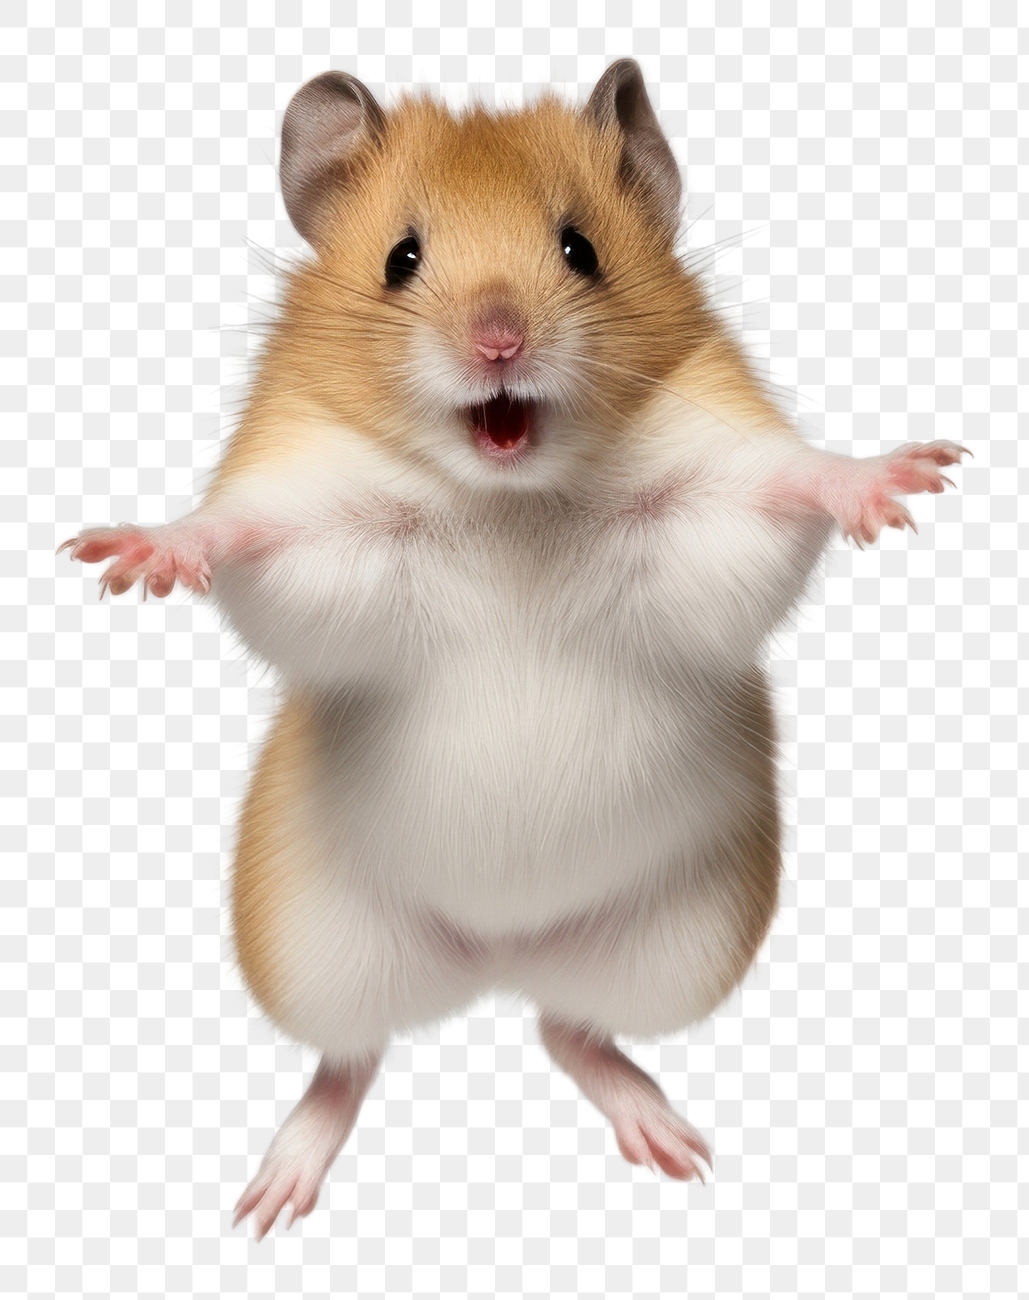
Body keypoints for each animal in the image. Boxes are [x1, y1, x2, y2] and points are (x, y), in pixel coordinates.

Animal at [61, 60, 966, 1237]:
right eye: (401, 258)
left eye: (579, 248)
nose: (499, 342)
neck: (509, 497)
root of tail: (499, 948)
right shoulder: (314, 527)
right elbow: (242, 534)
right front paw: (123, 557)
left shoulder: (715, 502)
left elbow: (792, 483)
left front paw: (913, 477)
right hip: (315, 947)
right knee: (352, 1058)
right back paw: (272, 1198)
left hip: (678, 945)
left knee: (563, 1028)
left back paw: (670, 1147)